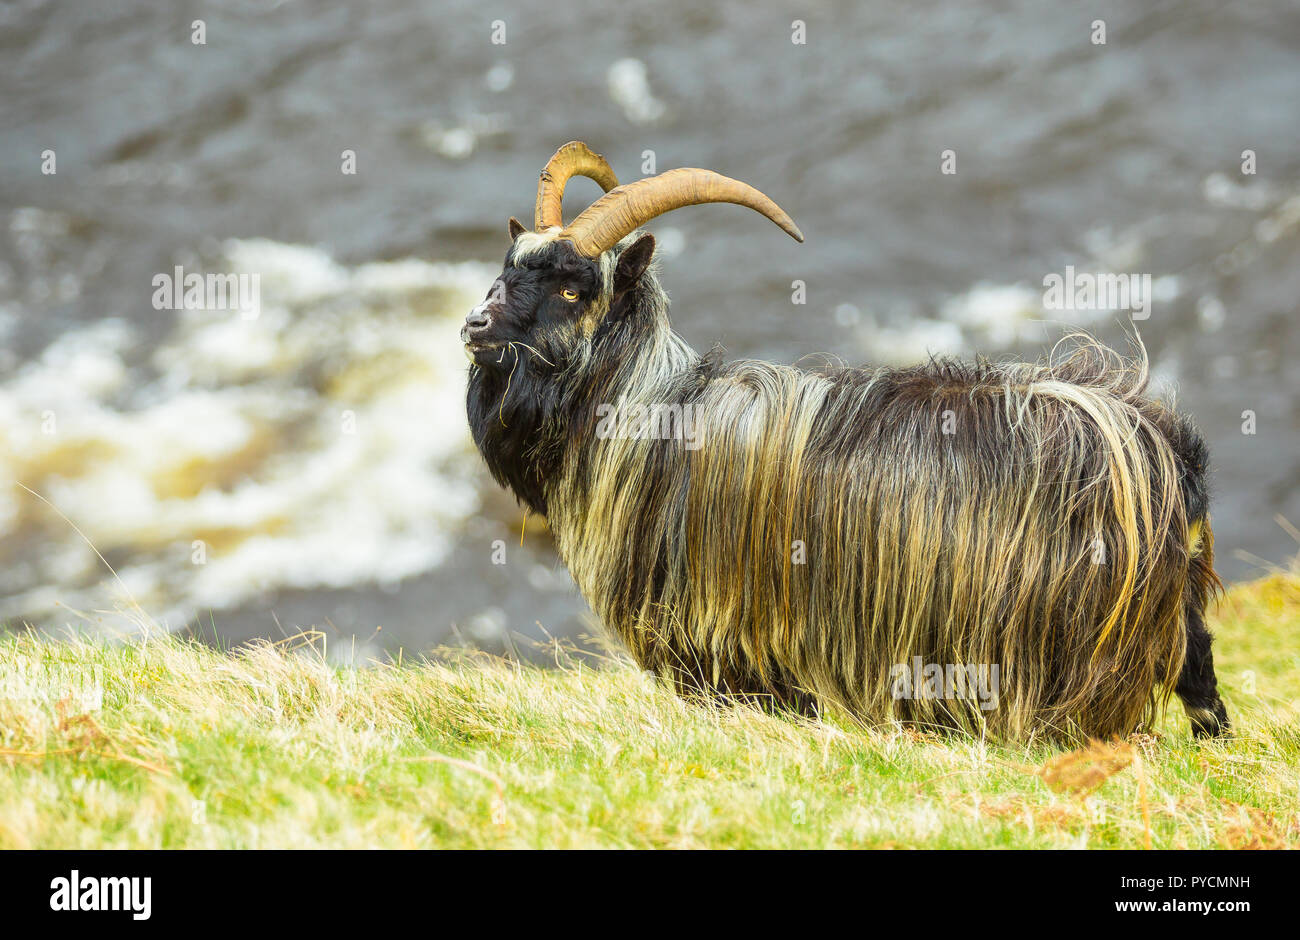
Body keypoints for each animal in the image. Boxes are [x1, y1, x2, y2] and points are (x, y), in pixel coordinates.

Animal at [462, 141, 1229, 742]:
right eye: (508, 269)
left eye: (573, 292)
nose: (475, 324)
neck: (651, 407)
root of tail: (1158, 440)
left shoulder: (728, 643)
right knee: (1203, 684)